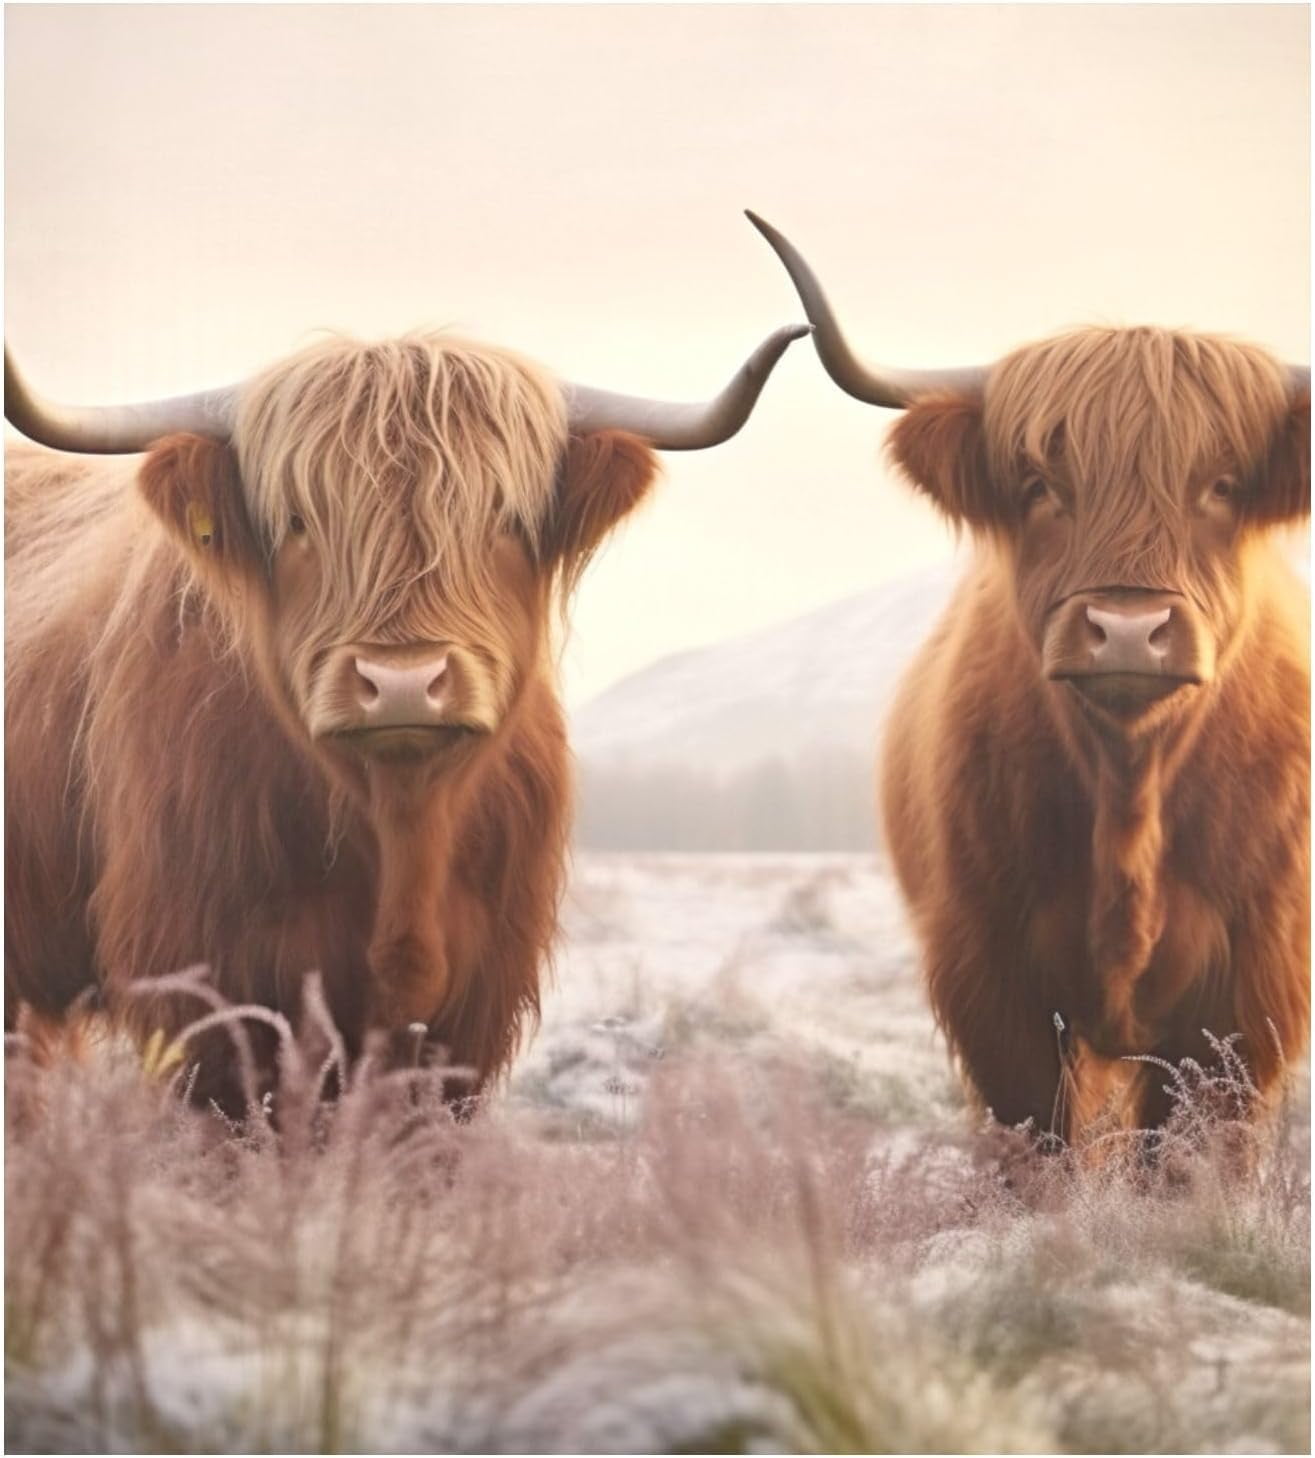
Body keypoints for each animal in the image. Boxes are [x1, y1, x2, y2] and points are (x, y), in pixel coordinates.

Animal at [5, 318, 806, 1110]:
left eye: (504, 518)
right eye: (298, 521)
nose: (402, 682)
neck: (403, 837)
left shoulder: (475, 1006)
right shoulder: (206, 990)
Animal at [749, 212, 1310, 1141]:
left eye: (1222, 484)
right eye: (1042, 485)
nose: (1127, 630)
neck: (1128, 789)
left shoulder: (1248, 991)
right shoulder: (991, 980)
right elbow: (1037, 1137)